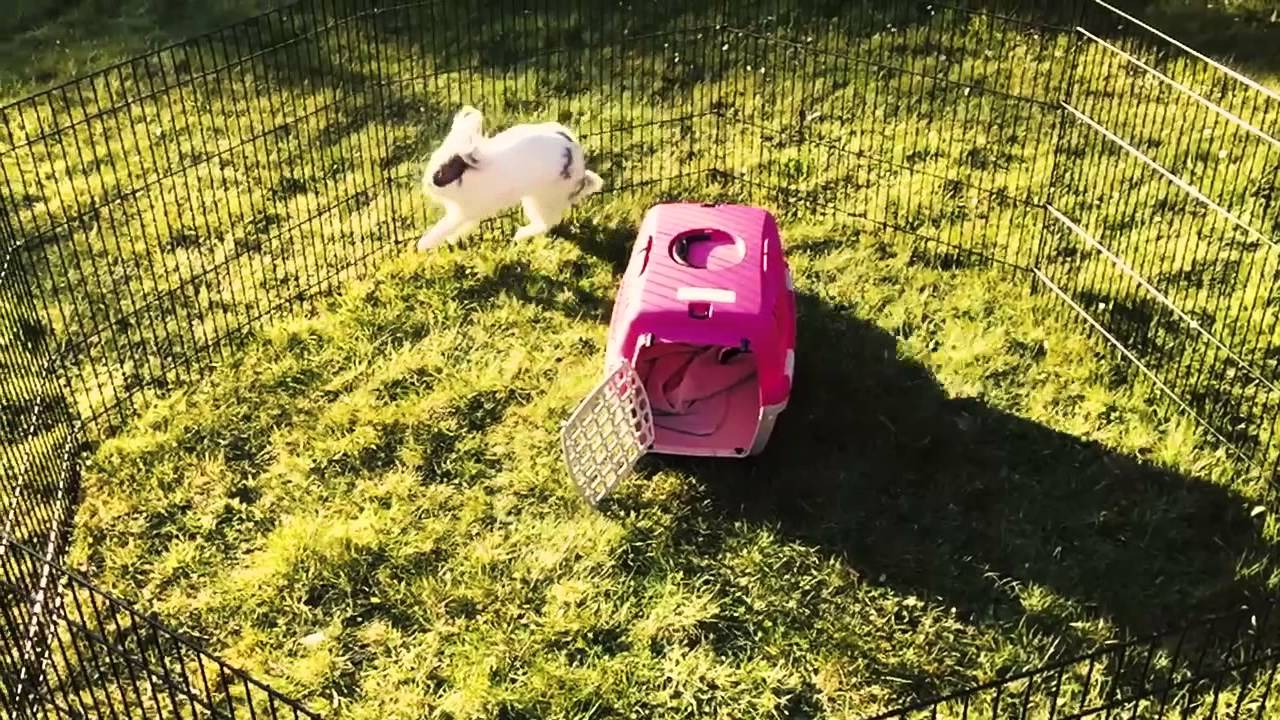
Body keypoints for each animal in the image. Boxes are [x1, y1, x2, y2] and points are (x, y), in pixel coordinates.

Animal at [416, 106, 605, 252]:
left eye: (443, 172)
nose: (427, 184)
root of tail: (581, 174)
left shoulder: (462, 213)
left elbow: (443, 227)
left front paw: (422, 245)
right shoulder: (469, 214)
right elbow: (462, 227)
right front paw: (452, 240)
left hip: (541, 201)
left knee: (547, 223)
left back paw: (519, 235)